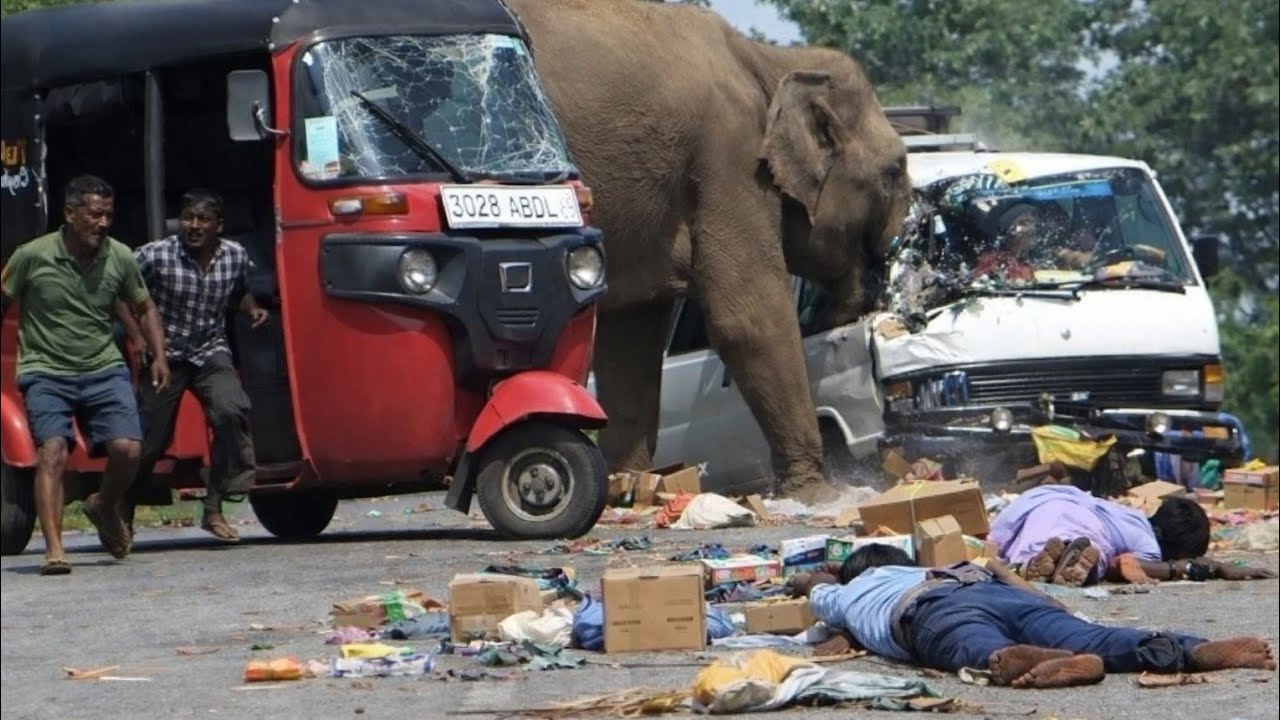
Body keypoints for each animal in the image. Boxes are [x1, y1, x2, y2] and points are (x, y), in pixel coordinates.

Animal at [505, 0, 912, 499]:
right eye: (893, 171)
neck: (768, 61)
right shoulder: (729, 158)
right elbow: (750, 316)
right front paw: (820, 495)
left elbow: (631, 333)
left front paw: (631, 491)